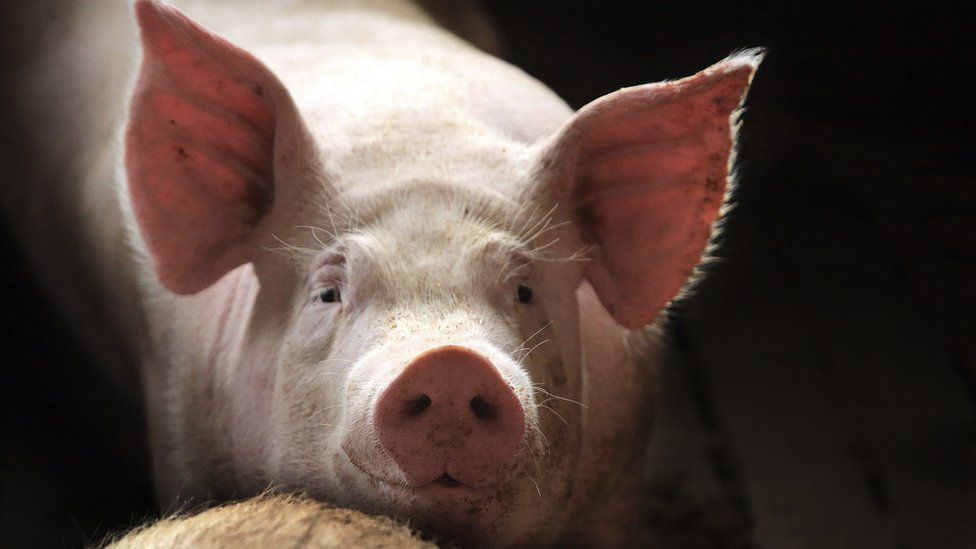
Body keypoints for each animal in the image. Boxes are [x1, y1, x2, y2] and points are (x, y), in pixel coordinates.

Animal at [1, 0, 760, 545]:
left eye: (525, 290)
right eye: (328, 291)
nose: (450, 362)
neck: (415, 138)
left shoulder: (618, 487)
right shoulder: (180, 429)